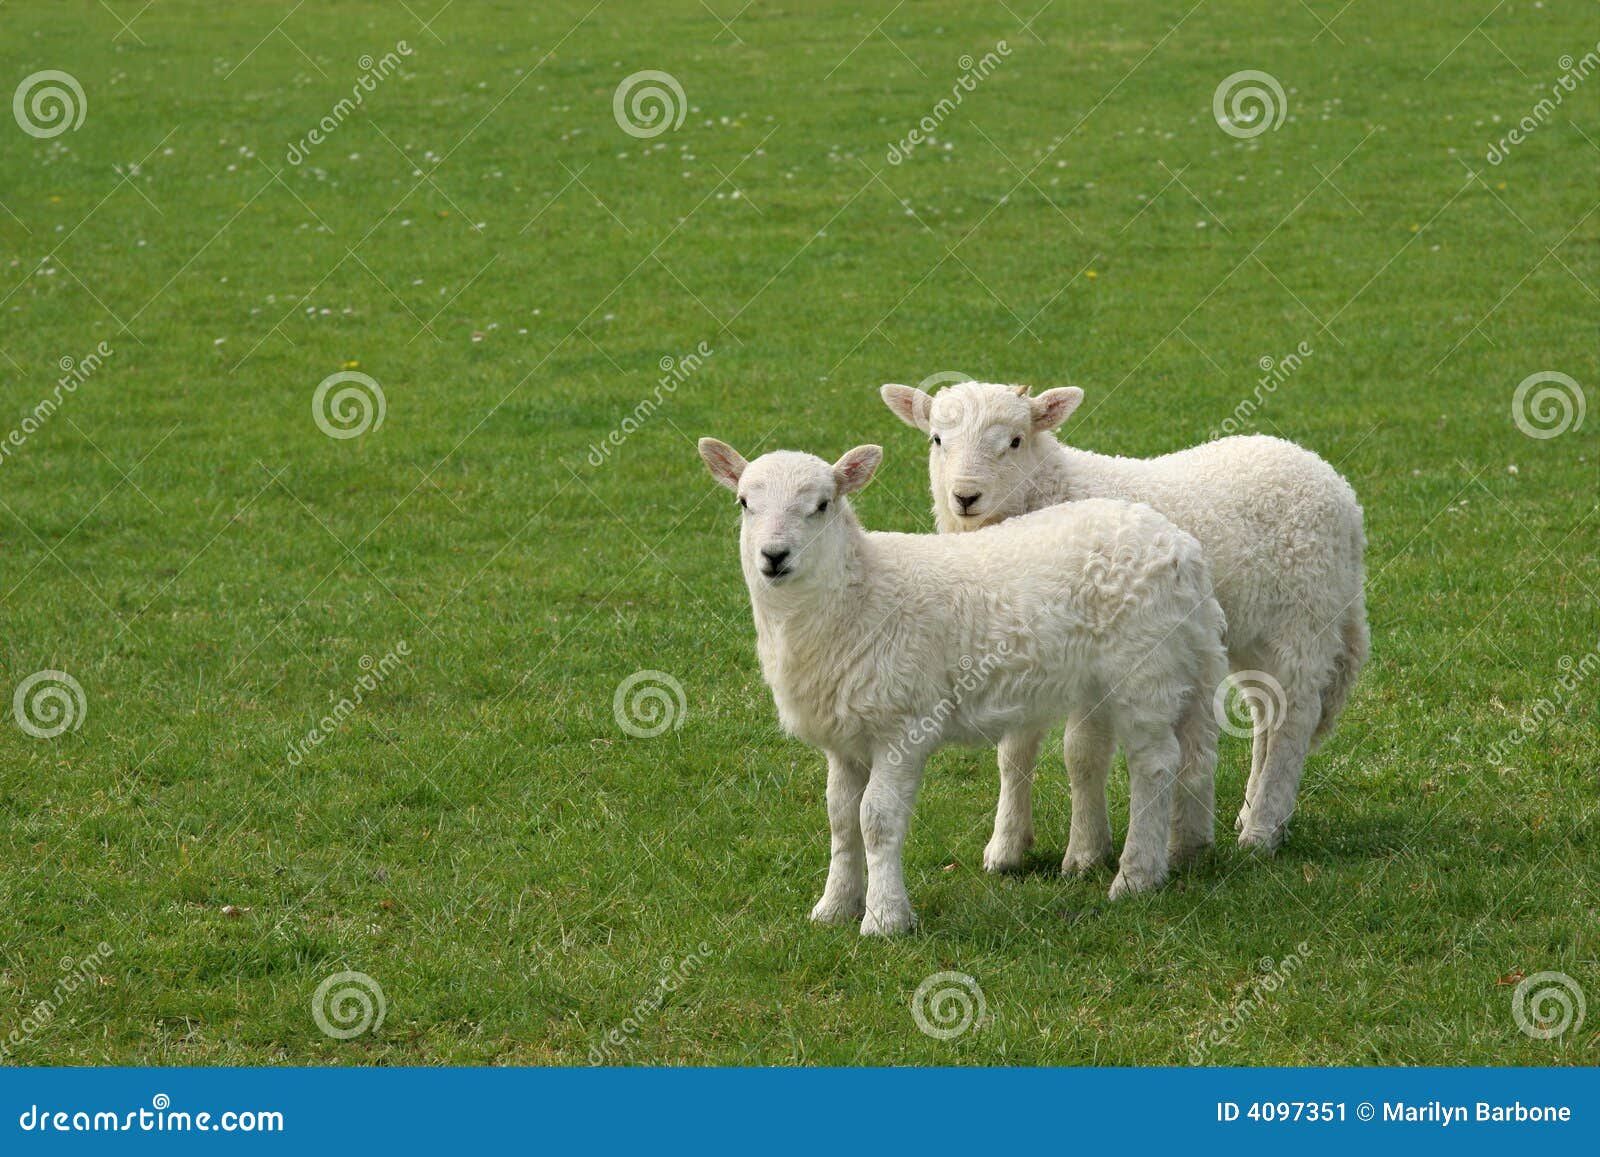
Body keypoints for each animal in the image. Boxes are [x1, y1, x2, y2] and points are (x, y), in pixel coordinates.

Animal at [697, 436, 1228, 935]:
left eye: (823, 504)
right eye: (744, 502)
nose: (774, 556)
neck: (859, 595)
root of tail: (1182, 548)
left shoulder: (902, 725)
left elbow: (877, 820)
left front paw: (884, 919)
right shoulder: (845, 737)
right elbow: (841, 820)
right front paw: (834, 907)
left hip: (1146, 665)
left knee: (1154, 764)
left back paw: (1137, 875)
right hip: (1136, 672)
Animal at [881, 380, 1369, 854]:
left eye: (1016, 441)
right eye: (936, 439)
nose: (965, 496)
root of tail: (1340, 490)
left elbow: (1080, 752)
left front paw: (1085, 851)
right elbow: (1013, 752)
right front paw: (1007, 848)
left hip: (1305, 616)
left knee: (1296, 715)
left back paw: (1262, 830)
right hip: (1252, 631)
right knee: (1268, 709)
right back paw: (1253, 813)